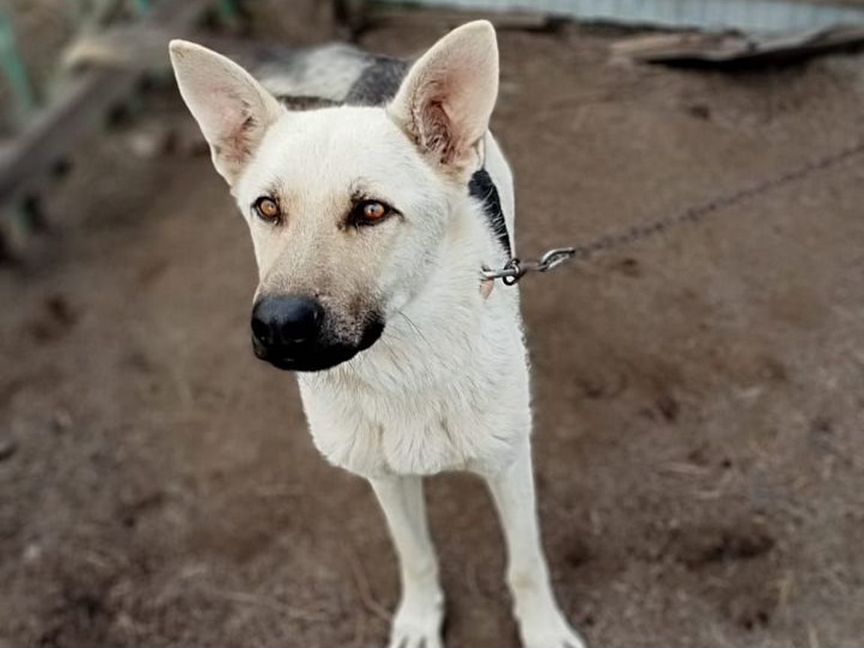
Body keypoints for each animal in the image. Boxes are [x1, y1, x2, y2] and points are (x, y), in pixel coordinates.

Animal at [170, 20, 584, 648]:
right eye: (266, 208)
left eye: (371, 211)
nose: (278, 326)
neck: (404, 367)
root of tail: (379, 66)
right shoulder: (383, 478)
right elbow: (415, 555)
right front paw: (419, 619)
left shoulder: (509, 466)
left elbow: (526, 563)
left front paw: (542, 629)